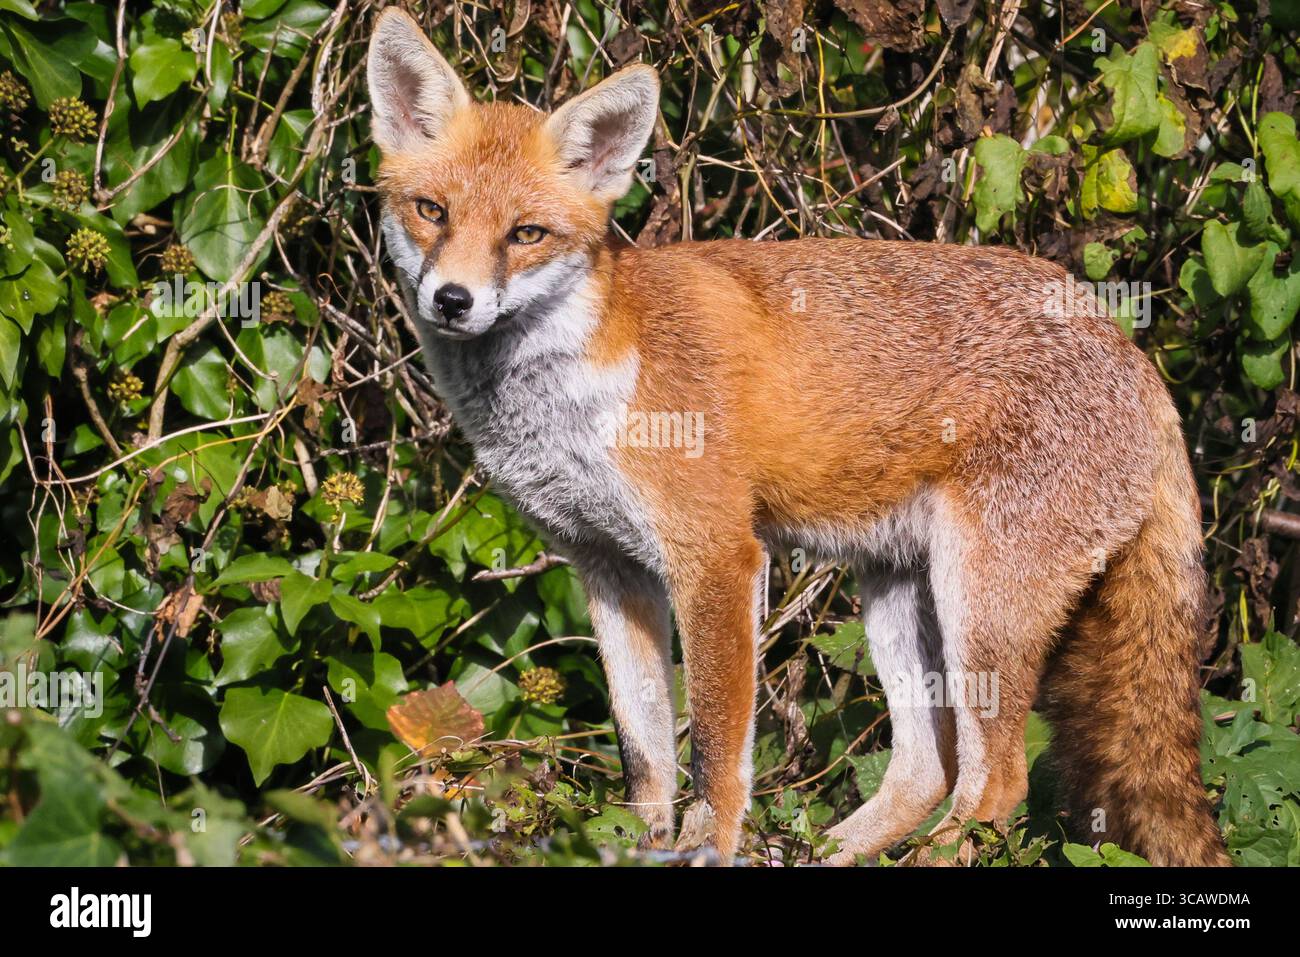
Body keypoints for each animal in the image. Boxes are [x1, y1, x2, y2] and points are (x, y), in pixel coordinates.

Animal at [365, 8, 1229, 866]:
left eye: (526, 233)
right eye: (432, 211)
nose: (452, 300)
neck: (576, 398)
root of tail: (1137, 356)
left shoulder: (718, 558)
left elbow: (716, 753)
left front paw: (706, 846)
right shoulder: (606, 565)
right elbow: (645, 753)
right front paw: (638, 842)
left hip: (980, 606)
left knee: (996, 784)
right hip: (898, 595)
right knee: (926, 767)